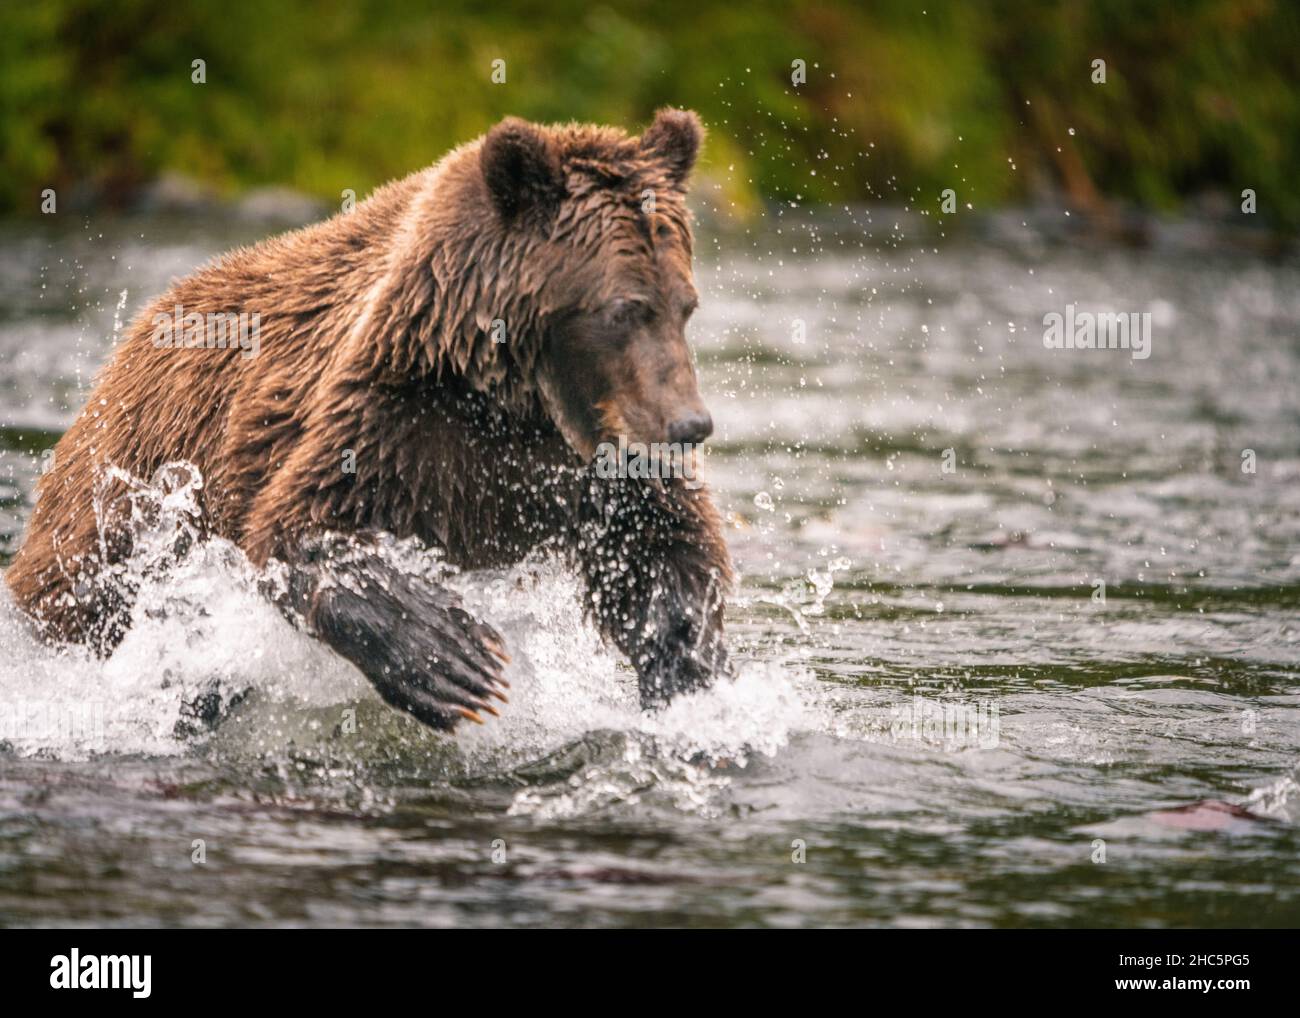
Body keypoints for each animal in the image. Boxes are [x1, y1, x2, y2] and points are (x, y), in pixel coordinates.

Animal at [5, 109, 733, 731]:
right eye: (623, 308)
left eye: (685, 304)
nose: (690, 425)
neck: (512, 398)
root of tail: (137, 331)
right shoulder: (393, 416)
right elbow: (299, 527)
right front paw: (452, 658)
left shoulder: (591, 463)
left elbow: (663, 554)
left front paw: (686, 667)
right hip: (130, 493)